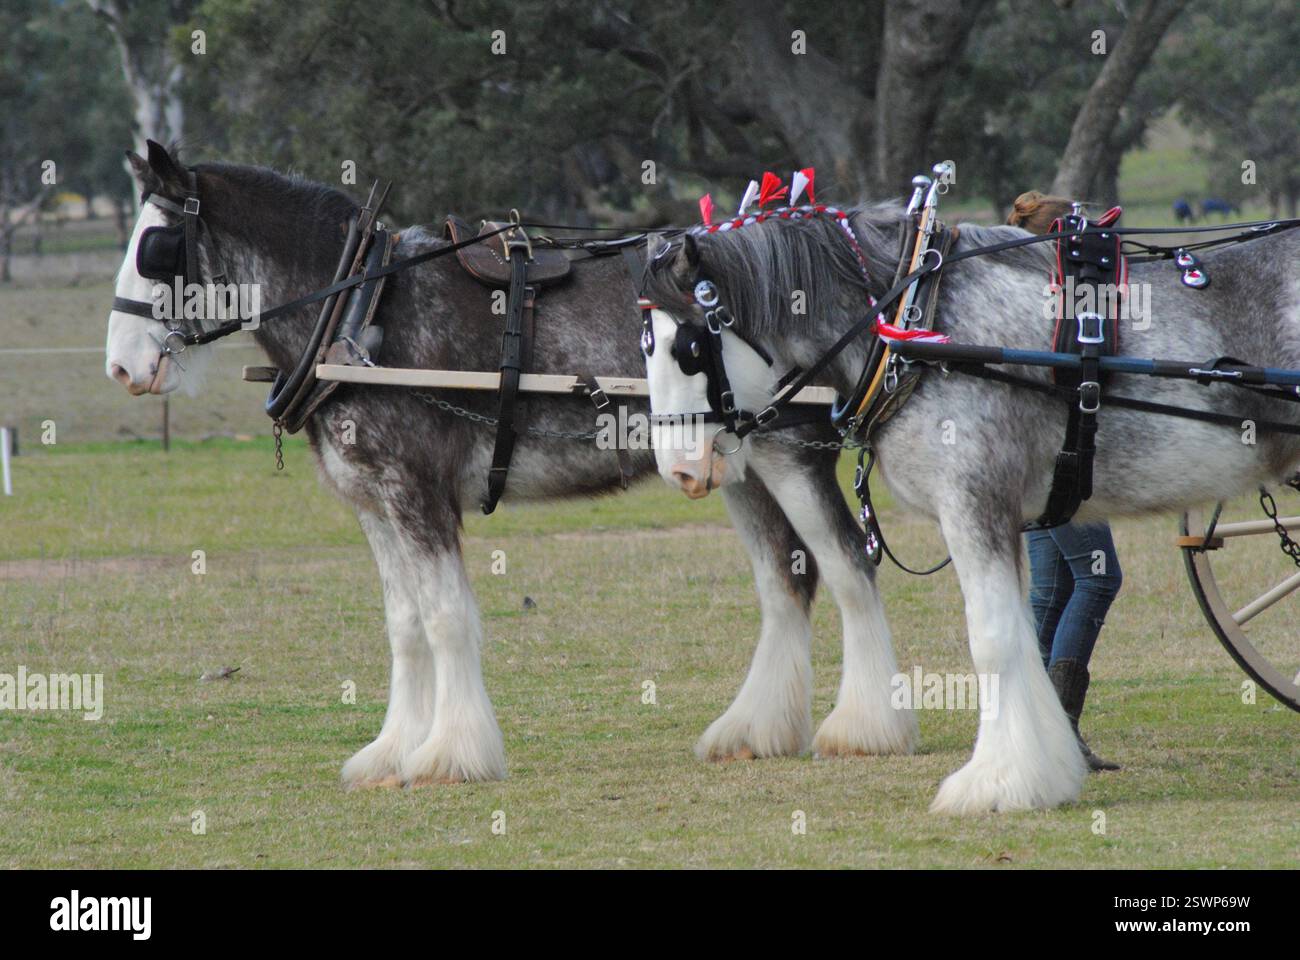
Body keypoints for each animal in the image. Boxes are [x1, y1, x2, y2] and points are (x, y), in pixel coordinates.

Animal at [103, 141, 917, 786]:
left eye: (156, 248)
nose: (119, 368)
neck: (360, 310)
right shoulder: (375, 503)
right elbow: (405, 624)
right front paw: (392, 752)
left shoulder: (417, 494)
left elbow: (445, 618)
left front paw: (450, 754)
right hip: (733, 466)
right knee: (785, 581)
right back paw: (754, 729)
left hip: (788, 453)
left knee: (847, 566)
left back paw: (865, 727)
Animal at [641, 200, 1300, 813]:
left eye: (689, 348)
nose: (679, 469)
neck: (917, 320)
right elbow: (1022, 636)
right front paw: (1039, 769)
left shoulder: (974, 501)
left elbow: (992, 638)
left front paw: (996, 782)